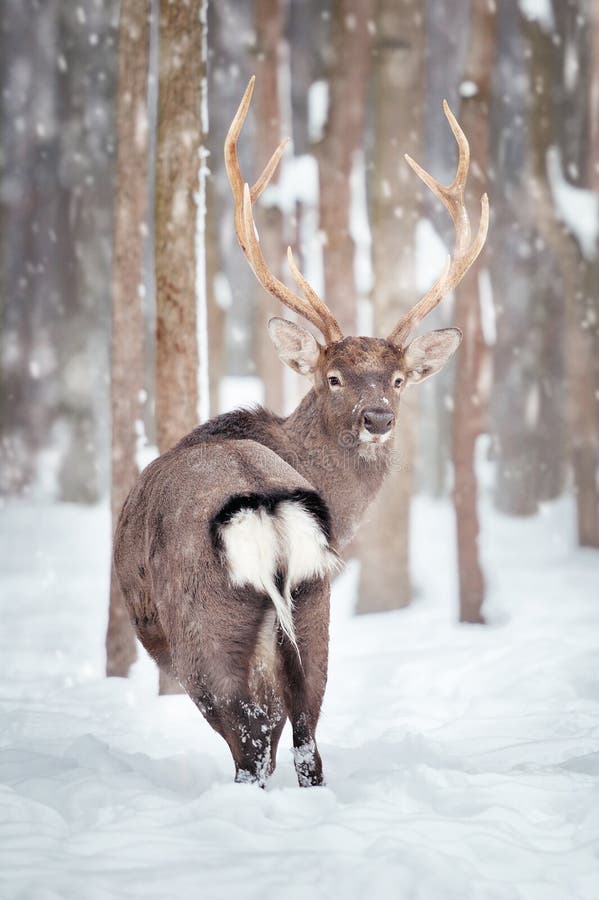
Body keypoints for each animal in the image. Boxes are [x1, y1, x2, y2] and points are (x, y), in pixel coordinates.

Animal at [113, 77, 488, 788]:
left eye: (399, 378)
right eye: (334, 377)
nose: (378, 418)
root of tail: (266, 507)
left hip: (207, 625)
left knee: (251, 747)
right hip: (317, 606)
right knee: (308, 740)